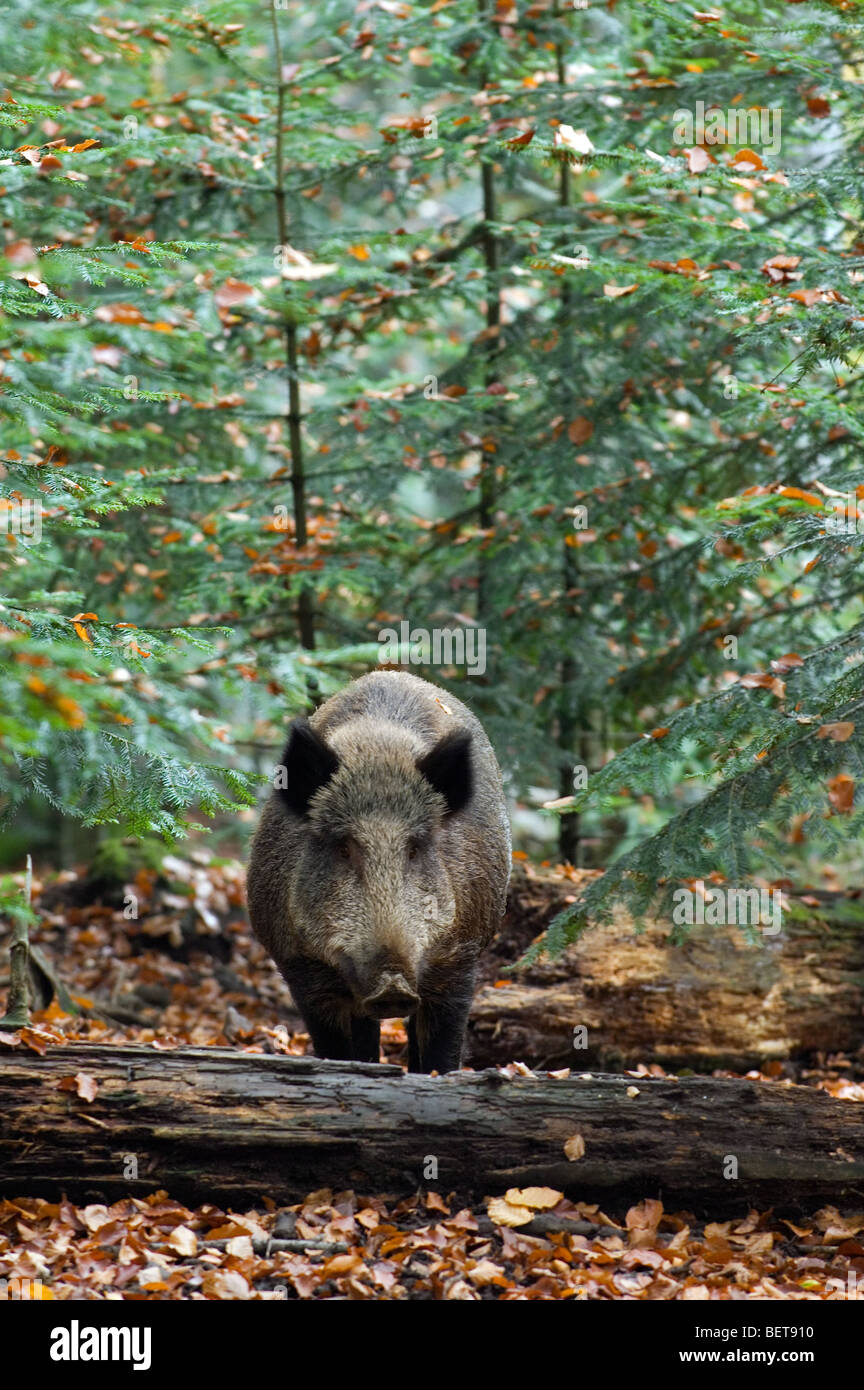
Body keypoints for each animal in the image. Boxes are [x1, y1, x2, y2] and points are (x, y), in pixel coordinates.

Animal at [246, 670, 510, 1072]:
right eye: (343, 847)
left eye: (415, 848)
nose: (392, 986)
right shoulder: (301, 966)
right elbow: (338, 1048)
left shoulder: (460, 960)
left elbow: (442, 1052)